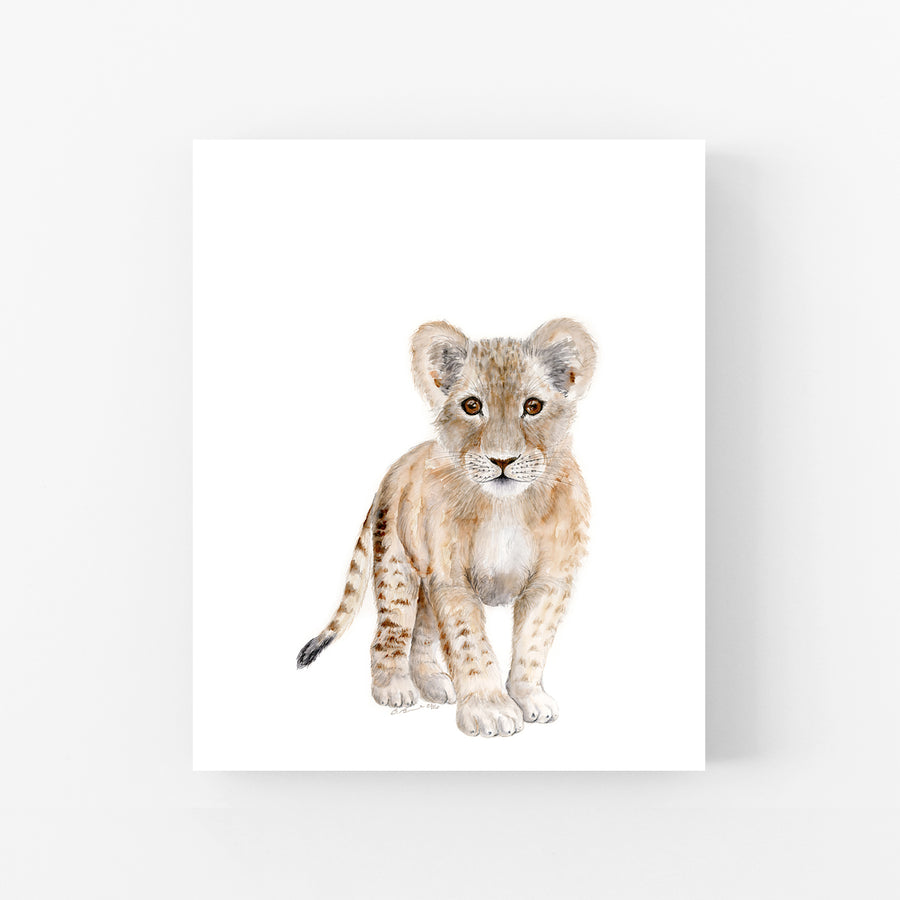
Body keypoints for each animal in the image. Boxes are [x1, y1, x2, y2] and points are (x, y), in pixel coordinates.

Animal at [297, 318, 596, 737]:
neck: (506, 507)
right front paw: (490, 710)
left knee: (422, 634)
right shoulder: (452, 578)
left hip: (426, 583)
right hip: (397, 569)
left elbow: (533, 644)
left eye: (533, 407)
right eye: (472, 406)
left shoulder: (551, 580)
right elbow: (469, 643)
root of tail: (395, 467)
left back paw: (435, 683)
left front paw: (529, 698)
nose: (502, 460)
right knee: (391, 632)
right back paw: (394, 688)